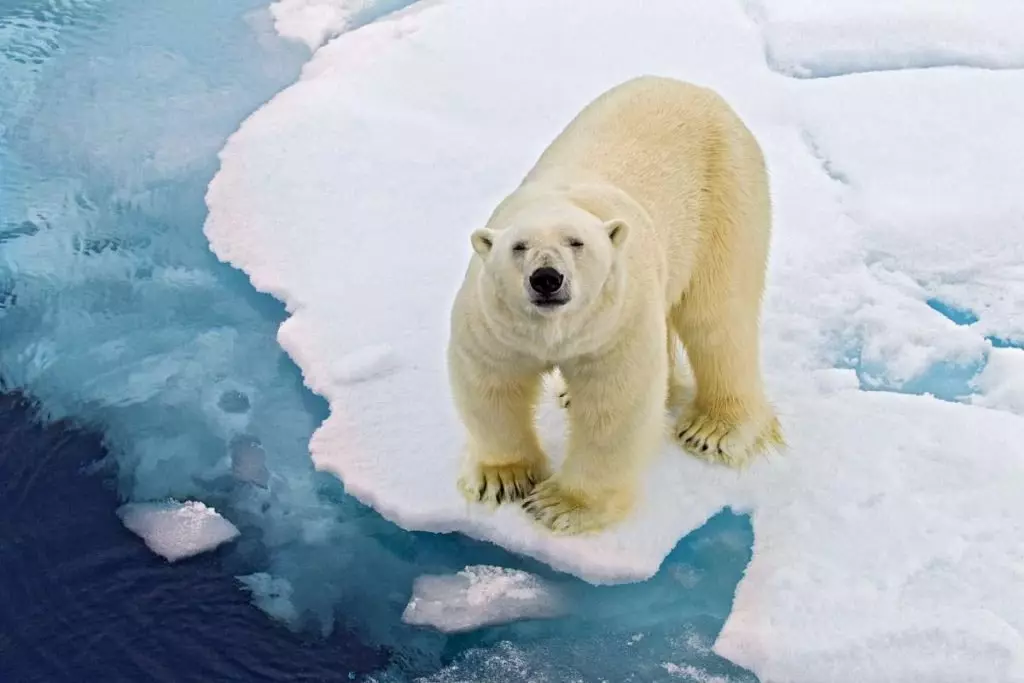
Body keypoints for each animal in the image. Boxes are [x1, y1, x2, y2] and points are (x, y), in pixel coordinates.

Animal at [444, 74, 778, 532]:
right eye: (519, 246)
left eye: (576, 242)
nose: (546, 278)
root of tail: (694, 88)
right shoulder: (495, 324)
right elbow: (491, 384)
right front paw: (504, 480)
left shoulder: (615, 322)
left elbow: (615, 403)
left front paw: (560, 505)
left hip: (727, 194)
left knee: (717, 318)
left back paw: (713, 430)